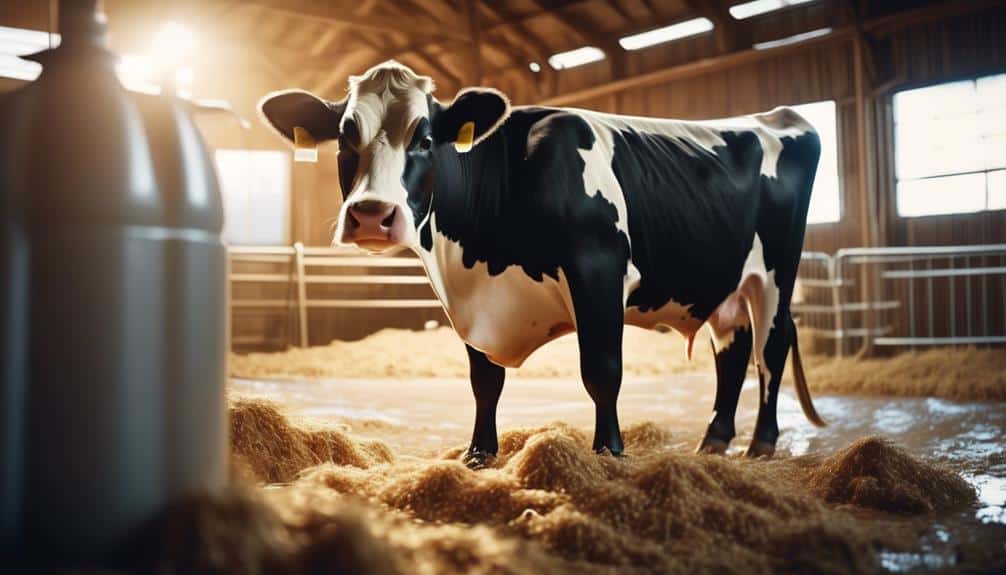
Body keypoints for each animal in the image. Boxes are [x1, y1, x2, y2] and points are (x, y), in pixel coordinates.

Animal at [258, 60, 825, 468]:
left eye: (425, 138)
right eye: (345, 137)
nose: (372, 214)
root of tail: (773, 117)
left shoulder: (599, 269)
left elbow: (602, 370)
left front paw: (608, 451)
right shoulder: (470, 301)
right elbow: (484, 381)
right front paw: (479, 453)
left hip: (775, 275)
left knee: (771, 347)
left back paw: (761, 444)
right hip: (722, 283)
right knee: (732, 349)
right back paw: (713, 442)